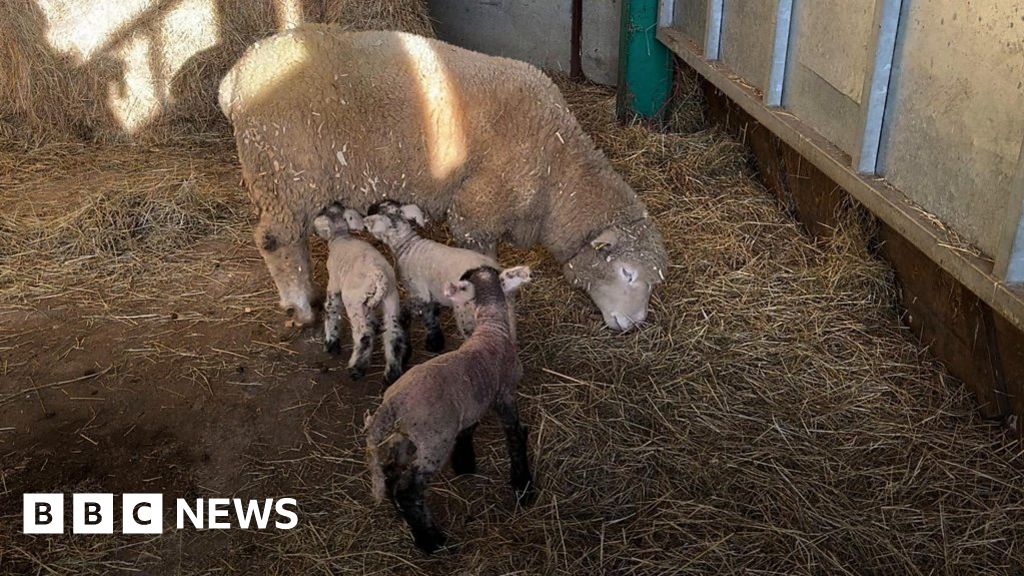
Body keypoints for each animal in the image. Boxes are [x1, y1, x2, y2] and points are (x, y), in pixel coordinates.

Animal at [218, 25, 667, 331]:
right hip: (285, 172)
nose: (634, 324)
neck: (556, 171)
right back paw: (299, 306)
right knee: (277, 240)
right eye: (627, 273)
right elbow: (480, 261)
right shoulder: (477, 211)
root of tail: (236, 76)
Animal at [312, 204, 409, 385]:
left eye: (324, 210)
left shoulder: (334, 283)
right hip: (390, 299)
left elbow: (331, 309)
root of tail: (379, 275)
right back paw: (391, 373)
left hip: (354, 301)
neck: (341, 237)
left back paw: (356, 368)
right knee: (394, 335)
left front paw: (331, 342)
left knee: (364, 336)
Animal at [362, 200, 523, 352]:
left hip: (466, 315)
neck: (407, 245)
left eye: (378, 209)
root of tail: (499, 277)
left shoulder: (419, 293)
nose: (368, 208)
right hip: (508, 310)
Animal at [364, 265, 535, 553]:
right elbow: (515, 436)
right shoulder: (505, 395)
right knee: (408, 489)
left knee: (391, 473)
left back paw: (407, 520)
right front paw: (522, 485)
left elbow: (467, 430)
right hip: (434, 440)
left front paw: (465, 463)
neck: (490, 327)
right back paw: (430, 540)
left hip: (403, 437)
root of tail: (391, 404)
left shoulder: (470, 403)